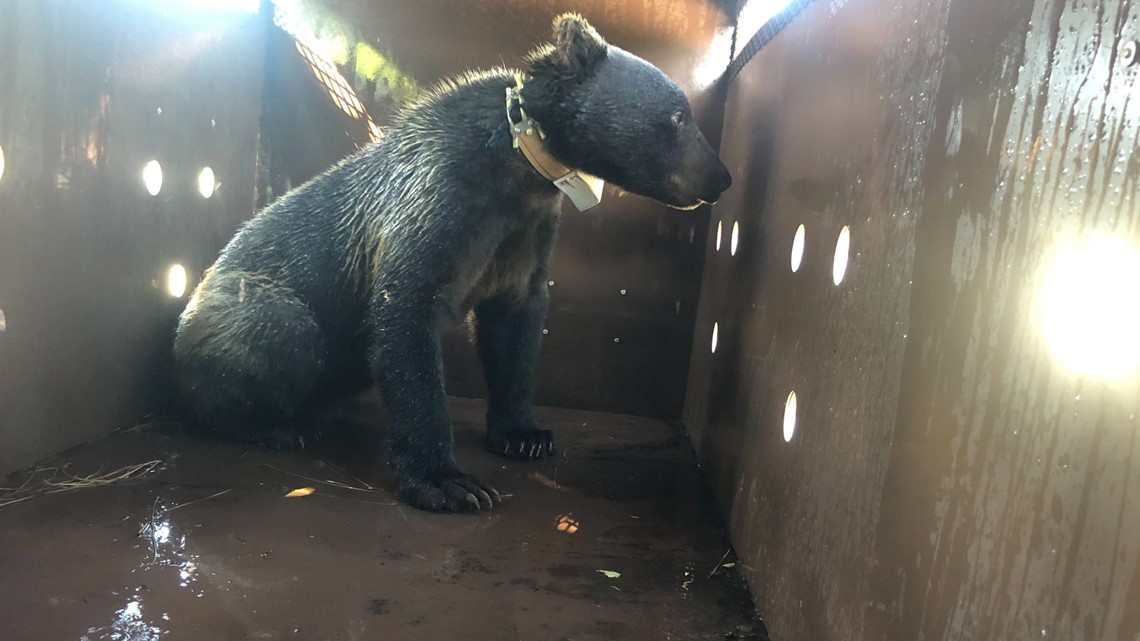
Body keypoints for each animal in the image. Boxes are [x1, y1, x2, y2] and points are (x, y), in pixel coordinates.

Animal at [173, 13, 732, 512]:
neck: (519, 169)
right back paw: (275, 425)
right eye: (679, 115)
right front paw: (449, 482)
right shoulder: (434, 205)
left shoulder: (522, 240)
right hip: (251, 300)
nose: (722, 177)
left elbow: (515, 330)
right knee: (277, 332)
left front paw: (524, 433)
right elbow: (405, 322)